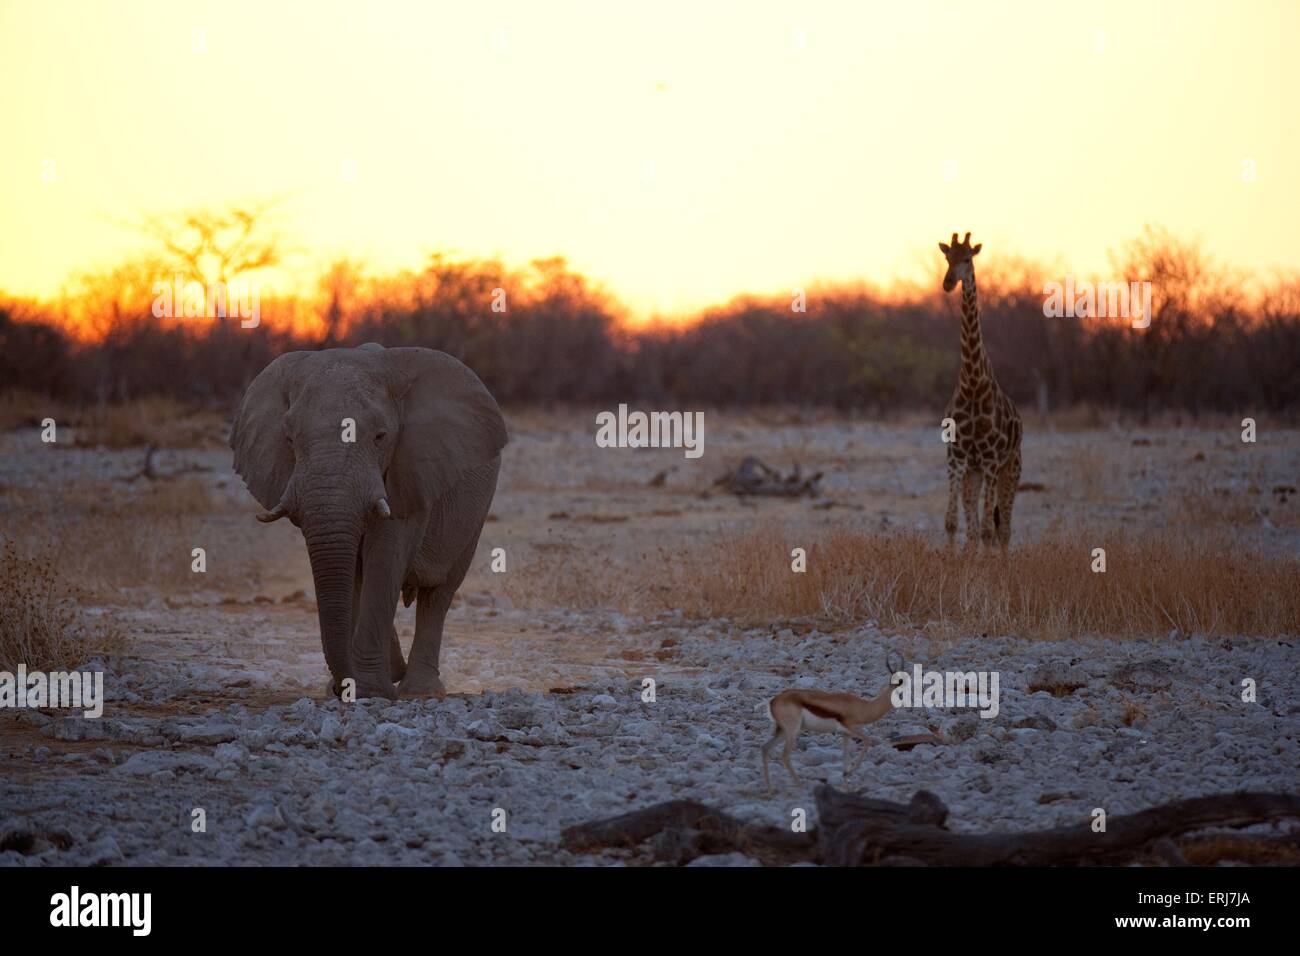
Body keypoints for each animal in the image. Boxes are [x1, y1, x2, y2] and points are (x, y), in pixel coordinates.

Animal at [230, 343, 506, 700]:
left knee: (439, 591)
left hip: (476, 508)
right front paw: (355, 687)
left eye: (380, 437)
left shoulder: (410, 468)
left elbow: (386, 554)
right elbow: (352, 569)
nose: (340, 687)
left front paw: (370, 691)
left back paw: (421, 690)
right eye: (289, 440)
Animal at [938, 232, 1022, 548]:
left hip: (1011, 468)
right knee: (975, 528)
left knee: (1003, 528)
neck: (973, 383)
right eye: (946, 257)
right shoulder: (957, 458)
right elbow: (953, 523)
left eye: (967, 258)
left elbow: (989, 530)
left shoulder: (990, 461)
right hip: (974, 474)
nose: (948, 282)